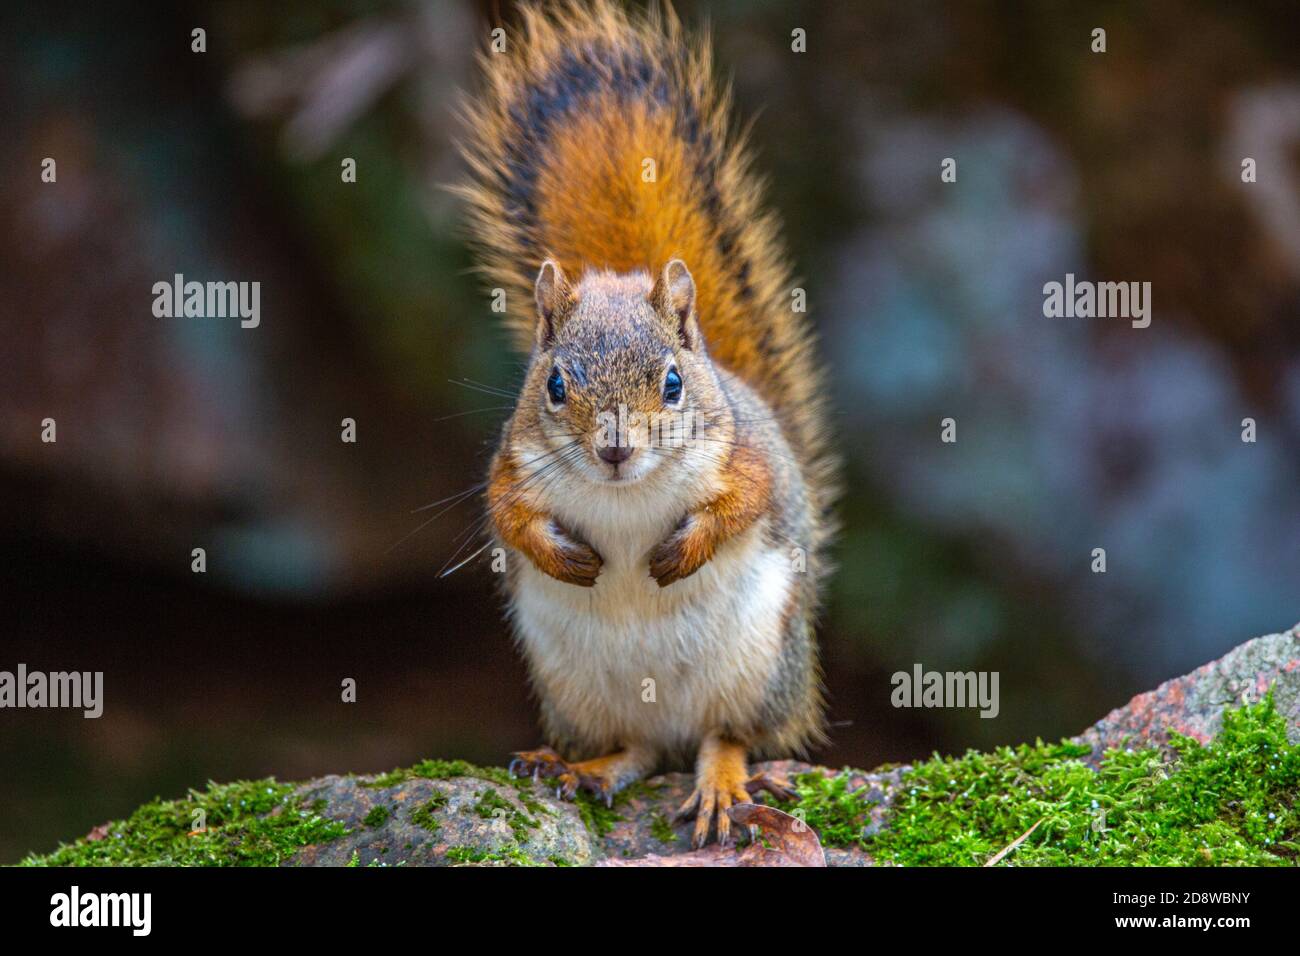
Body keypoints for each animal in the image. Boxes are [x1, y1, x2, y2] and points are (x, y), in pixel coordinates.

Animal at [456, 0, 836, 847]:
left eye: (671, 382)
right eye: (554, 384)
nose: (616, 450)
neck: (626, 498)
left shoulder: (746, 456)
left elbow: (746, 501)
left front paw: (681, 551)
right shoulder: (511, 465)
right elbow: (508, 516)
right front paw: (563, 556)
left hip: (760, 666)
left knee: (725, 737)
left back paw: (722, 784)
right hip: (573, 684)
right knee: (637, 749)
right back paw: (582, 768)